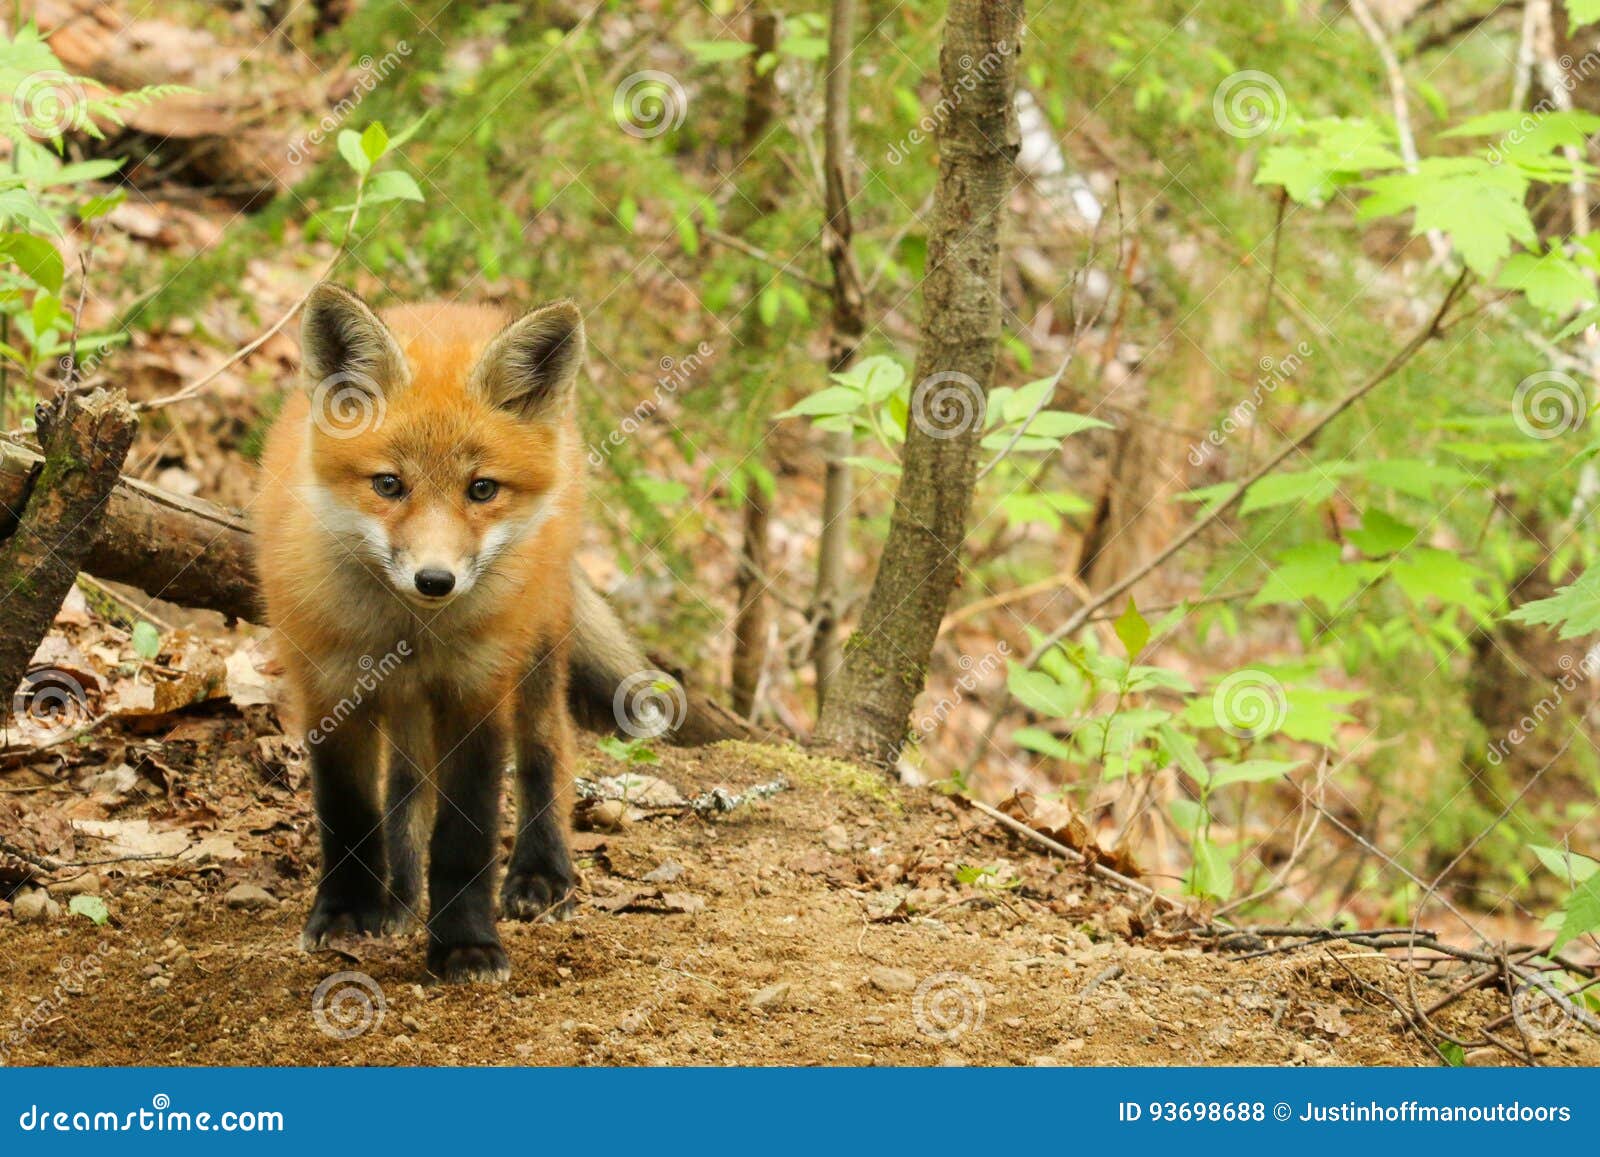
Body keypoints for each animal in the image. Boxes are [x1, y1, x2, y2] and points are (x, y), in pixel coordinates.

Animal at [254, 283, 648, 983]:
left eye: (481, 489)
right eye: (389, 484)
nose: (435, 580)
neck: (410, 631)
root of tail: (457, 306)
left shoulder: (476, 693)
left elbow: (466, 836)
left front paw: (465, 944)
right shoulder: (328, 688)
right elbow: (348, 814)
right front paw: (348, 913)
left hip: (537, 645)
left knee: (548, 748)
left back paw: (542, 873)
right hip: (411, 703)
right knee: (407, 788)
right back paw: (400, 897)